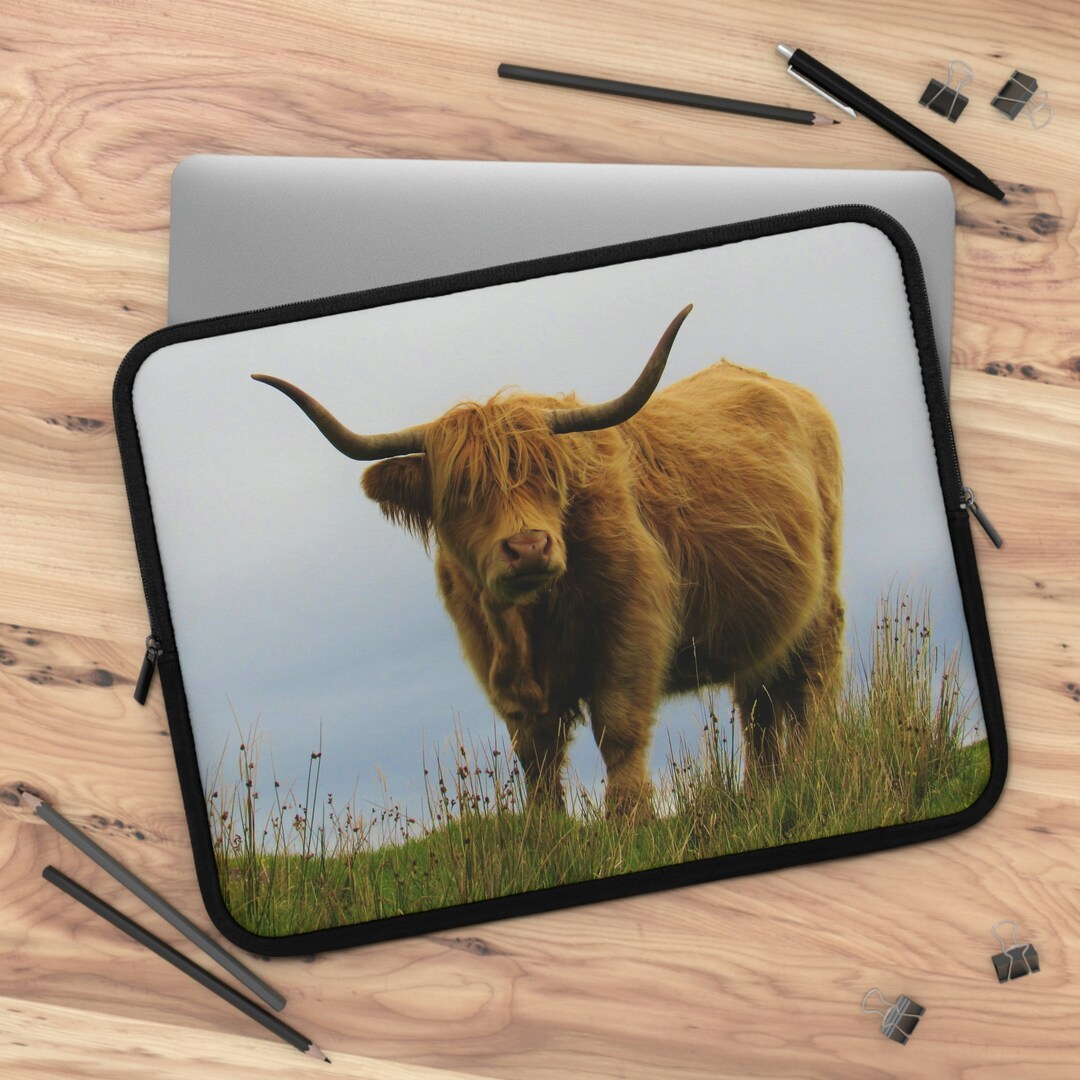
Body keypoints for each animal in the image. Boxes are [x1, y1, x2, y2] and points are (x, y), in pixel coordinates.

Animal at [252, 305, 844, 820]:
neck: (528, 619)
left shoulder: (632, 626)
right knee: (759, 705)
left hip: (822, 602)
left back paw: (817, 767)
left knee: (812, 685)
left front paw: (629, 821)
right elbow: (534, 752)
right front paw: (545, 830)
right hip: (760, 630)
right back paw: (764, 790)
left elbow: (618, 727)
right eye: (460, 492)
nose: (529, 547)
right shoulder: (495, 661)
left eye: (546, 476)